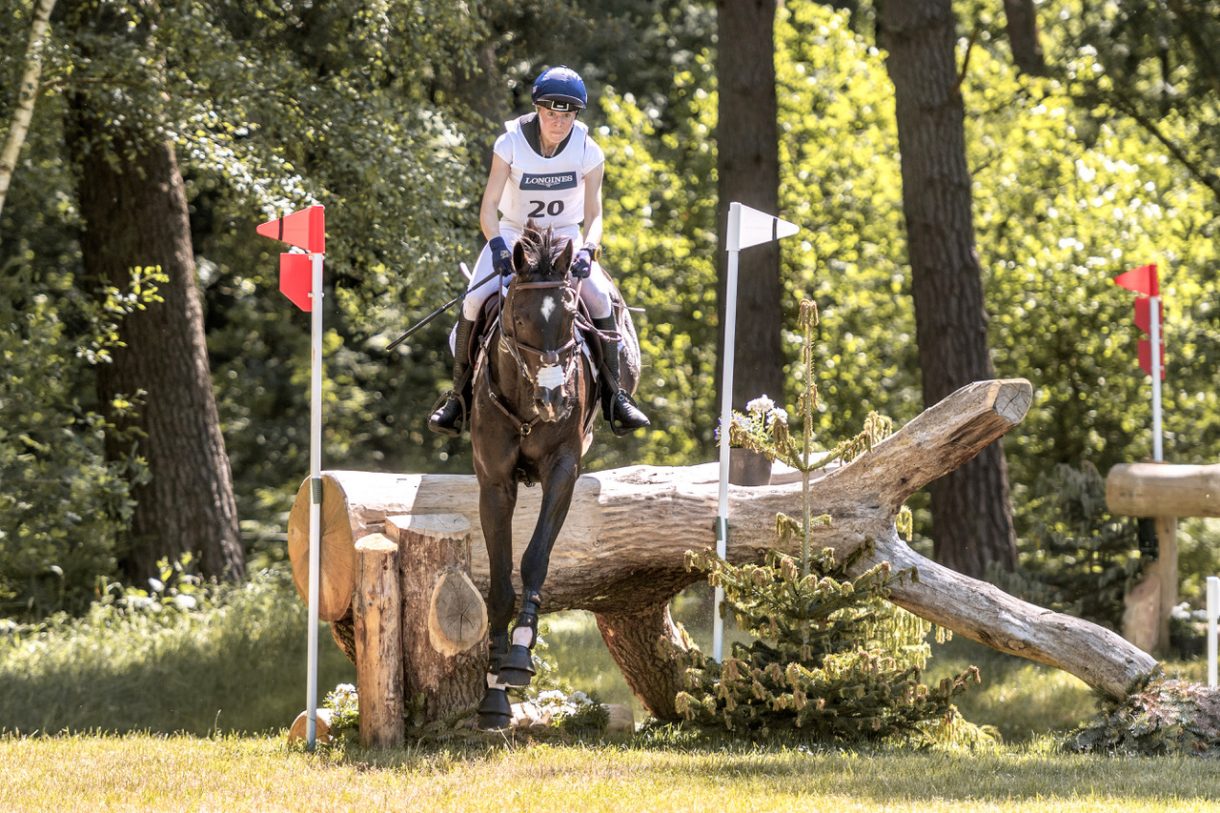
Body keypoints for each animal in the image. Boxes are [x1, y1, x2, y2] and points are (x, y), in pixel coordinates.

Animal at [470, 223, 639, 729]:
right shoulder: (495, 483)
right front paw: (494, 690)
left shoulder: (563, 469)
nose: (553, 399)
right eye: (518, 317)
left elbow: (534, 558)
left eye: (569, 318)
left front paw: (519, 657)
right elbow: (499, 581)